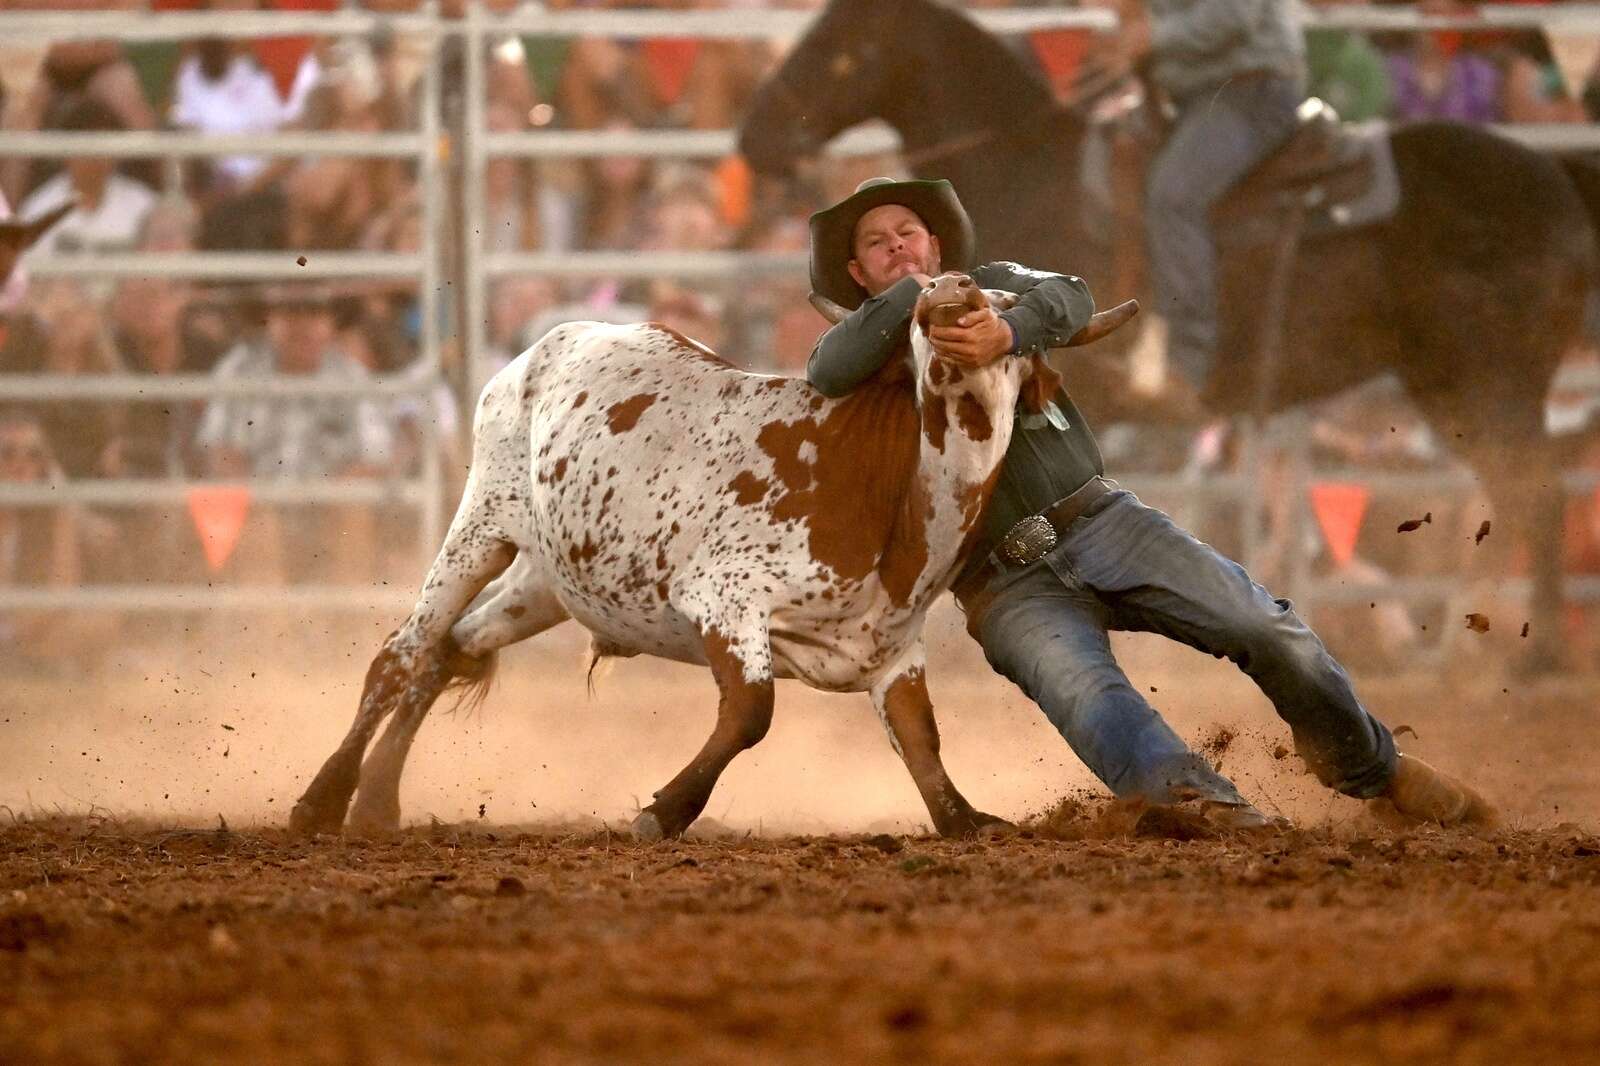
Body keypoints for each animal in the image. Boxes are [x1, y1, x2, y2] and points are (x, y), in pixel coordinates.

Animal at [737, 0, 1600, 672]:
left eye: (839, 47)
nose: (755, 138)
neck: (1033, 170)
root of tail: (1557, 178)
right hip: (1460, 385)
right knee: (1512, 496)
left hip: (1486, 378)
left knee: (1535, 495)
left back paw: (1530, 662)